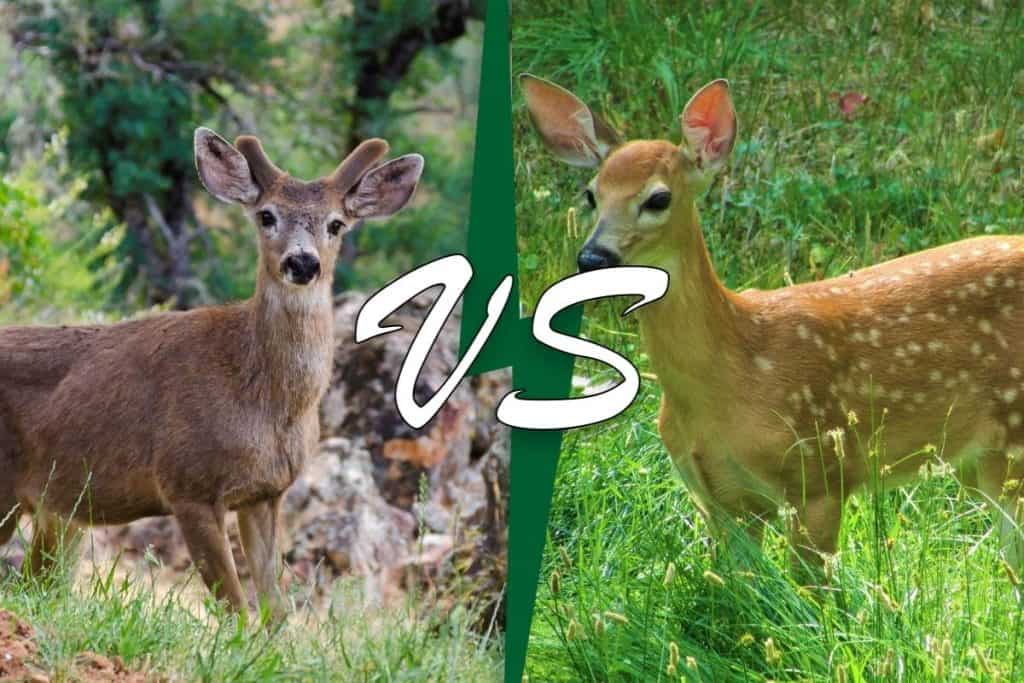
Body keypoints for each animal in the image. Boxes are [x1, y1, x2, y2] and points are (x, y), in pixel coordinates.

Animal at [0, 127, 424, 618]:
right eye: (266, 215)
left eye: (336, 224)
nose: (302, 263)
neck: (263, 399)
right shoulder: (188, 485)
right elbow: (236, 608)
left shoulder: (266, 493)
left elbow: (275, 610)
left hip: (59, 512)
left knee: (35, 583)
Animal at [521, 73, 1024, 571]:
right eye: (591, 194)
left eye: (658, 198)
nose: (592, 257)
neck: (736, 368)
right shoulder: (720, 500)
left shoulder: (819, 475)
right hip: (978, 461)